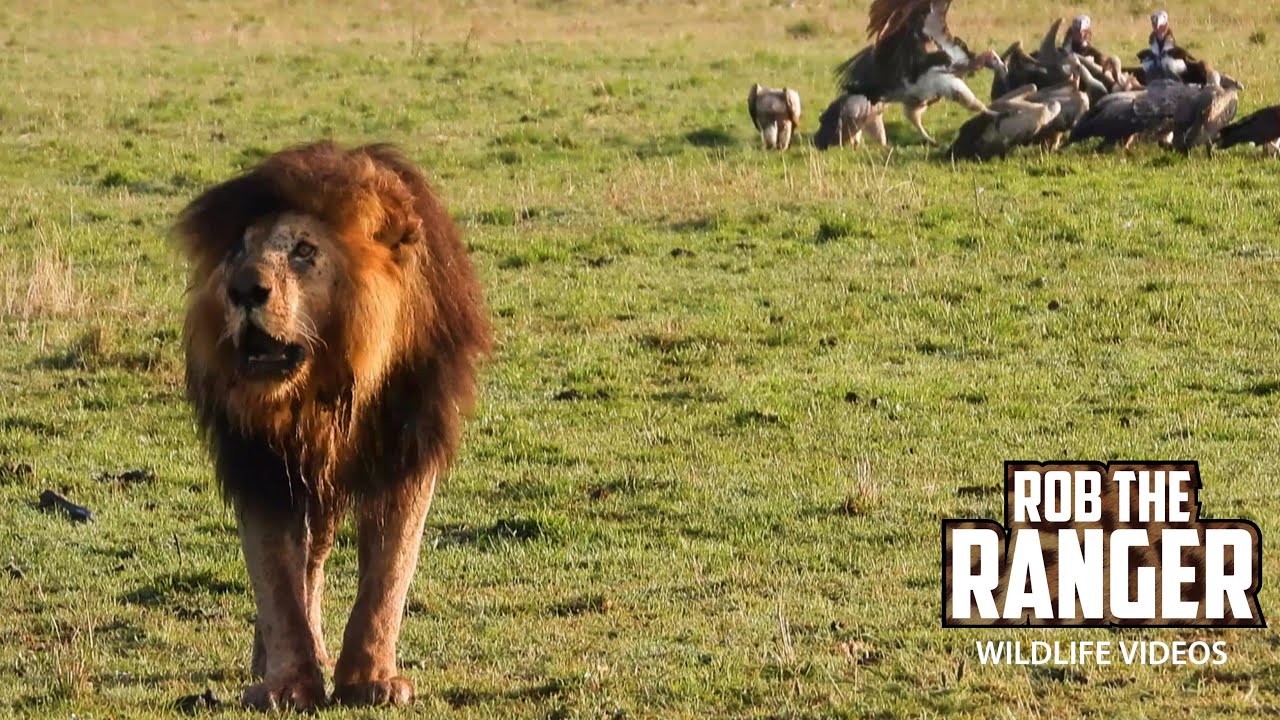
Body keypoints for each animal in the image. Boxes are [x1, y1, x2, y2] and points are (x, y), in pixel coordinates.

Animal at [174, 141, 491, 711]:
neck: (321, 391)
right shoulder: (259, 466)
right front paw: (286, 685)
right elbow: (276, 580)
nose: (243, 289)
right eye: (237, 251)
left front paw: (372, 681)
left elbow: (388, 575)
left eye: (304, 250)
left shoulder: (407, 449)